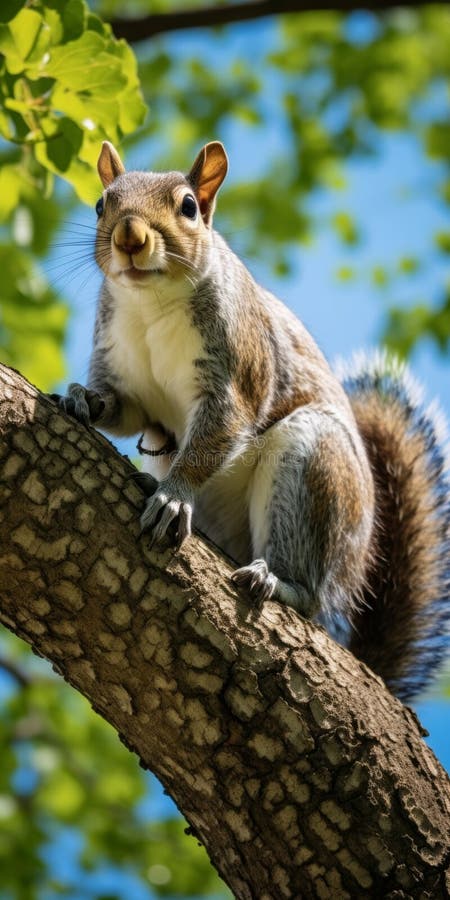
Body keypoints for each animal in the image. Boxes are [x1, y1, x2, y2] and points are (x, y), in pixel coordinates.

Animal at [58, 140, 450, 703]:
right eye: (100, 205)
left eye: (188, 207)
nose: (129, 236)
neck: (152, 304)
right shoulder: (125, 377)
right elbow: (124, 409)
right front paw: (82, 401)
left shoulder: (237, 371)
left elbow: (218, 432)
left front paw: (174, 495)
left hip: (314, 470)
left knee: (307, 590)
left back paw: (277, 581)